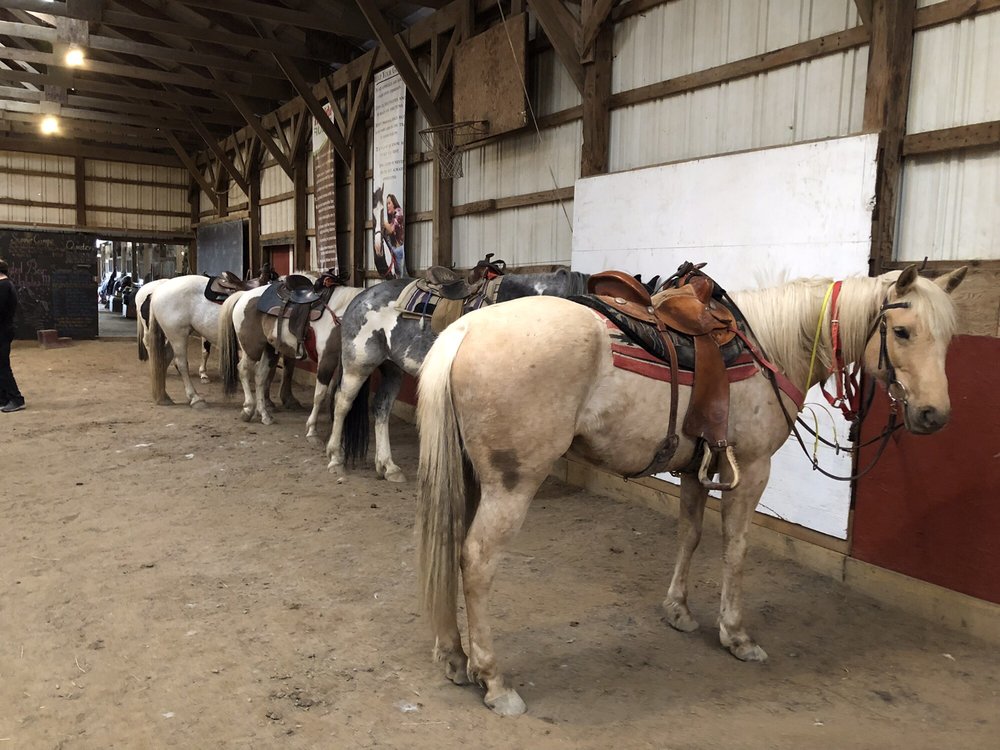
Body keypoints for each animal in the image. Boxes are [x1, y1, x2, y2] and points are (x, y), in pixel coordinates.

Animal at [217, 281, 363, 430]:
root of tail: (243, 295)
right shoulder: (327, 358)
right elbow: (321, 394)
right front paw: (312, 428)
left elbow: (335, 392)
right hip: (252, 349)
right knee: (243, 370)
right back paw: (247, 410)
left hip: (269, 349)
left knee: (260, 376)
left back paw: (265, 415)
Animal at [327, 267, 590, 481]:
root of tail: (359, 298)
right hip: (358, 364)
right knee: (342, 403)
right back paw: (335, 459)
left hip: (392, 370)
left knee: (381, 409)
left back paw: (388, 467)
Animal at [415, 265, 967, 715]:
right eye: (902, 331)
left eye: (948, 338)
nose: (933, 416)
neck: (770, 348)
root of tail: (465, 329)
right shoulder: (753, 468)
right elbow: (735, 548)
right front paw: (736, 636)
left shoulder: (695, 469)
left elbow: (690, 534)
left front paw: (678, 610)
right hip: (512, 486)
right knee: (478, 562)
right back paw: (494, 680)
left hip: (470, 477)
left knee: (450, 544)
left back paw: (454, 657)